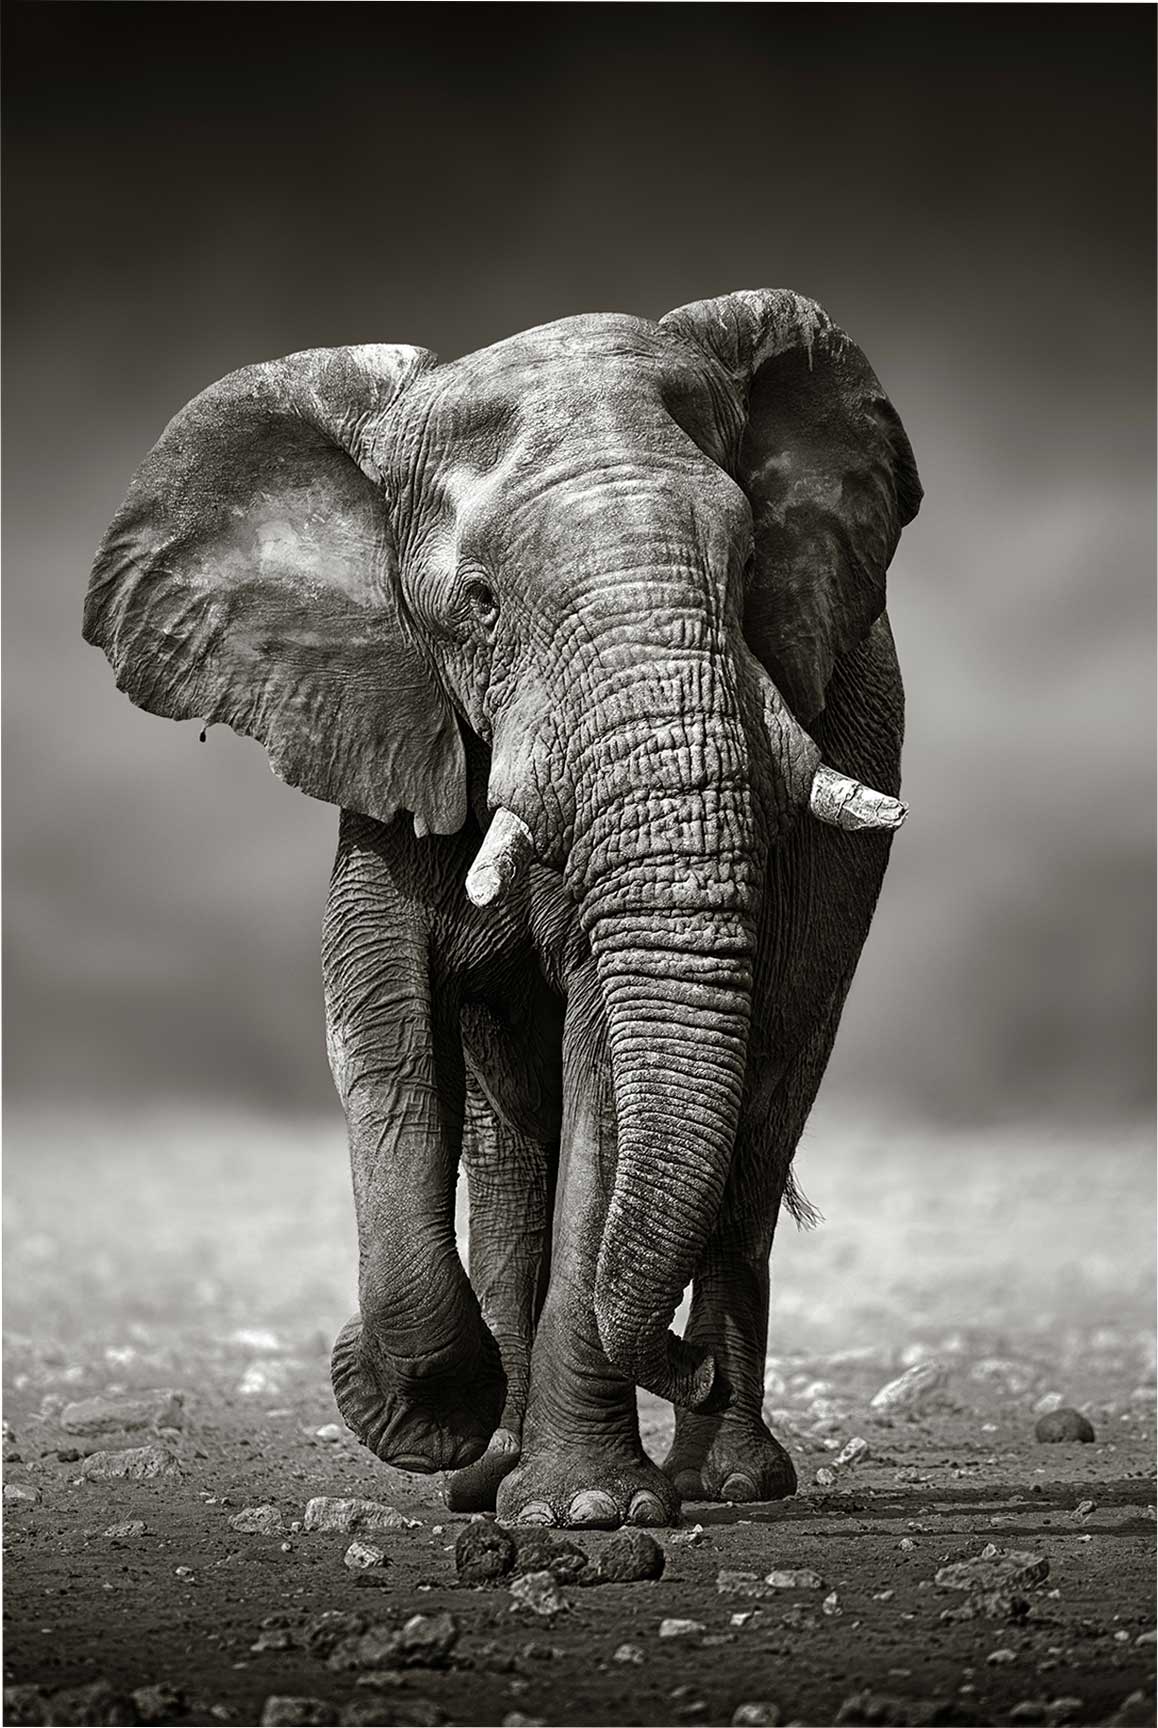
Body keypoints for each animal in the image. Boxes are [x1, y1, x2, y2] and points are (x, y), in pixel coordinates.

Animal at [83, 289, 921, 1529]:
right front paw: (426, 1418)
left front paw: (587, 1511)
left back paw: (723, 1480)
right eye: (478, 604)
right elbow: (379, 1026)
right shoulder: (389, 725)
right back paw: (494, 1470)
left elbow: (608, 1060)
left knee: (759, 1119)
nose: (679, 1365)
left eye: (748, 567)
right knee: (511, 1150)